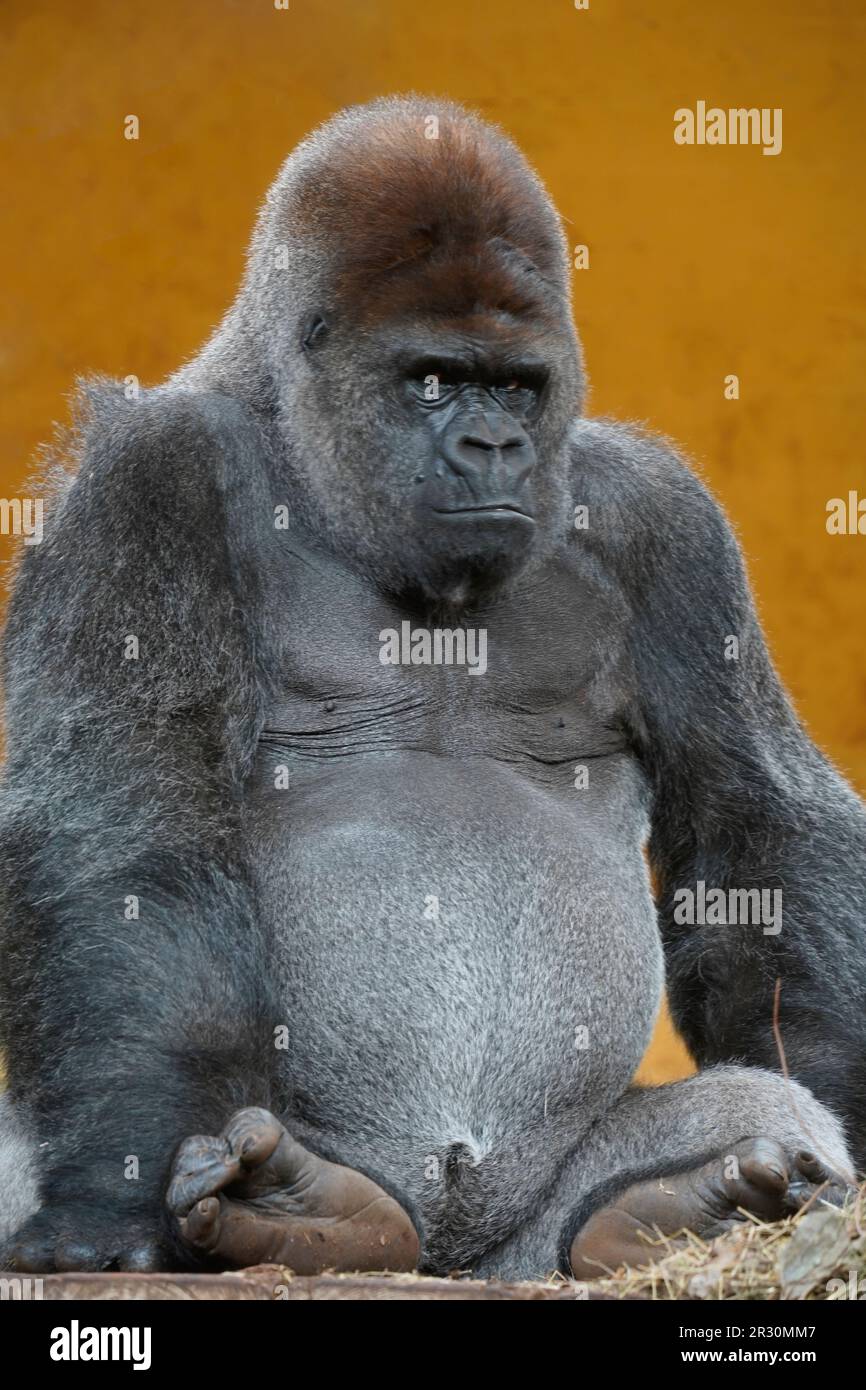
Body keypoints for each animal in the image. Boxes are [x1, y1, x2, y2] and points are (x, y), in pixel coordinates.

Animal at [0, 95, 863, 1281]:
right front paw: (110, 1200)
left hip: (515, 1253)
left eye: (515, 386)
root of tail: (435, 1257)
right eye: (434, 379)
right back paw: (308, 1209)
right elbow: (121, 834)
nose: (495, 444)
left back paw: (679, 1198)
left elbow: (759, 825)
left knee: (746, 1115)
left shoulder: (665, 522)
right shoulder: (140, 483)